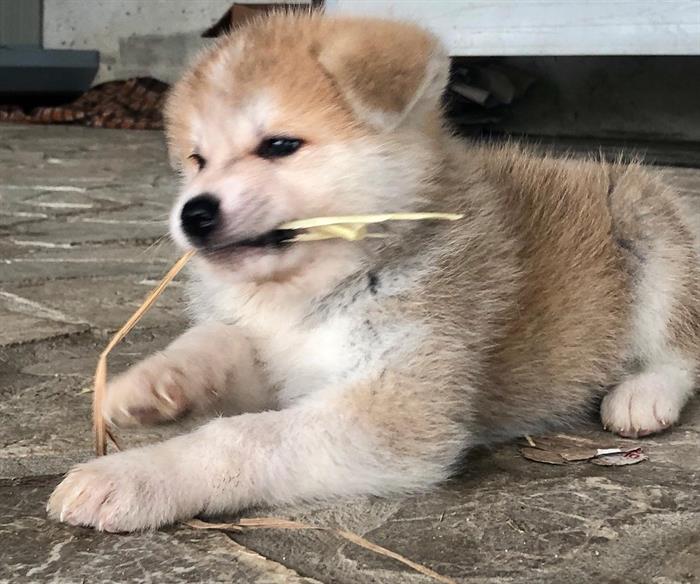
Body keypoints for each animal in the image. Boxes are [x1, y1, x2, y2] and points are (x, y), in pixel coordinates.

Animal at [46, 12, 696, 532]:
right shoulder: (280, 358)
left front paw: (134, 476)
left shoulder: (398, 408)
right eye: (197, 159)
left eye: (279, 145)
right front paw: (148, 385)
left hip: (649, 229)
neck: (315, 292)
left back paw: (642, 396)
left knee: (680, 348)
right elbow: (215, 343)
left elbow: (240, 438)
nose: (194, 213)